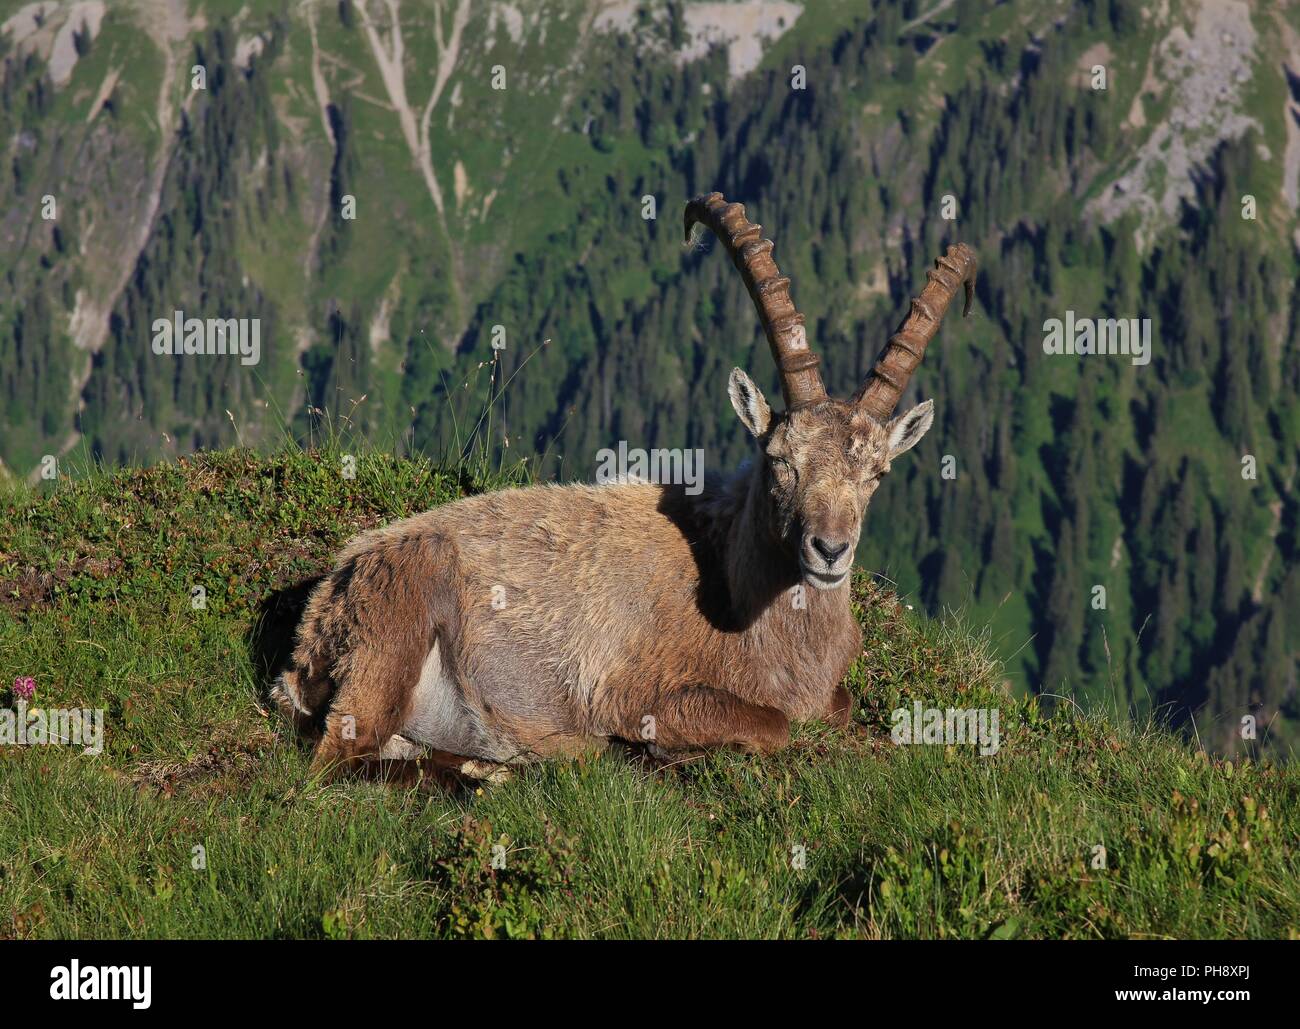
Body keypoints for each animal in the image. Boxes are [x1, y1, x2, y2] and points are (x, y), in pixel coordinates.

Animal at [272, 192, 976, 781]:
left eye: (877, 473)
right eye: (780, 459)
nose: (829, 551)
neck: (738, 603)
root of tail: (320, 615)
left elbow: (842, 706)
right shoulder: (635, 690)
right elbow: (770, 726)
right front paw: (653, 750)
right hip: (398, 625)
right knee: (336, 761)